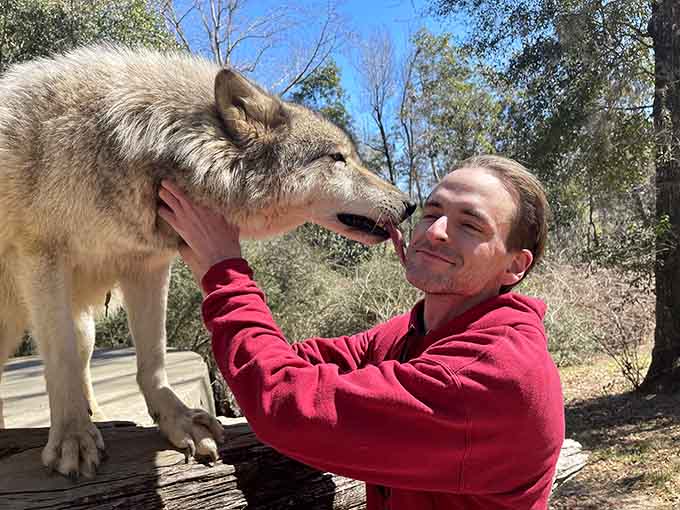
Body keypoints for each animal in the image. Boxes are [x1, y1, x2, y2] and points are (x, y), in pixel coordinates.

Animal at [0, 45, 415, 479]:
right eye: (338, 158)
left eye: (350, 157)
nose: (409, 204)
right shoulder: (40, 256)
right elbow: (60, 359)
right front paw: (73, 437)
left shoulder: (147, 264)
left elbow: (153, 358)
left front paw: (178, 419)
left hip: (83, 324)